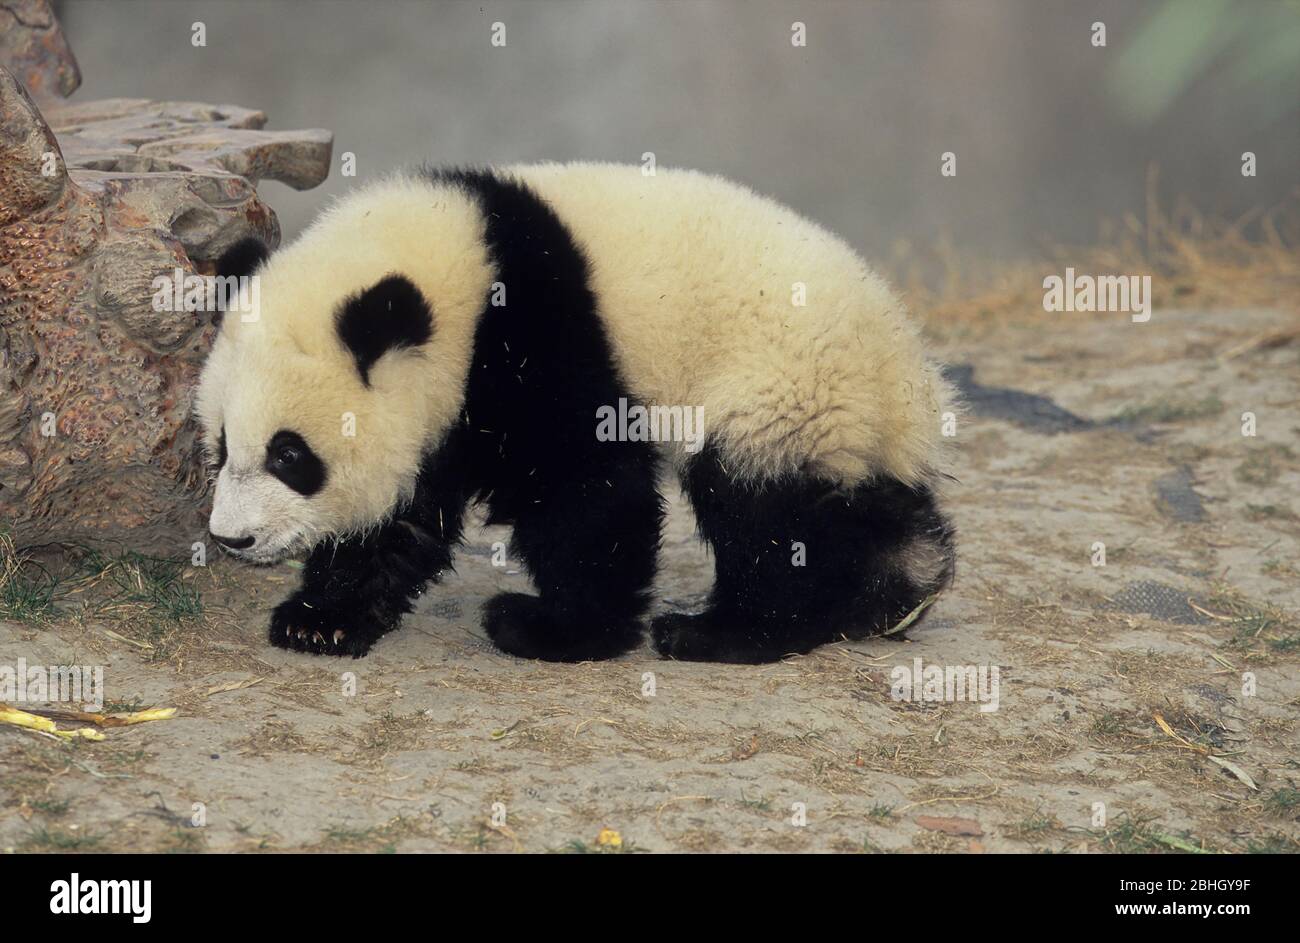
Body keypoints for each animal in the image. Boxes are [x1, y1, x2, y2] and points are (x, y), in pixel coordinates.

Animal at [195, 162, 956, 664]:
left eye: (290, 455)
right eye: (222, 446)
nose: (232, 538)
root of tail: (912, 386)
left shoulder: (540, 339)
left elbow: (584, 490)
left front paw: (556, 628)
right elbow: (408, 510)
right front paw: (319, 618)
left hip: (783, 385)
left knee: (762, 507)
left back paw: (727, 630)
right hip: (837, 417)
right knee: (855, 507)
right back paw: (893, 591)